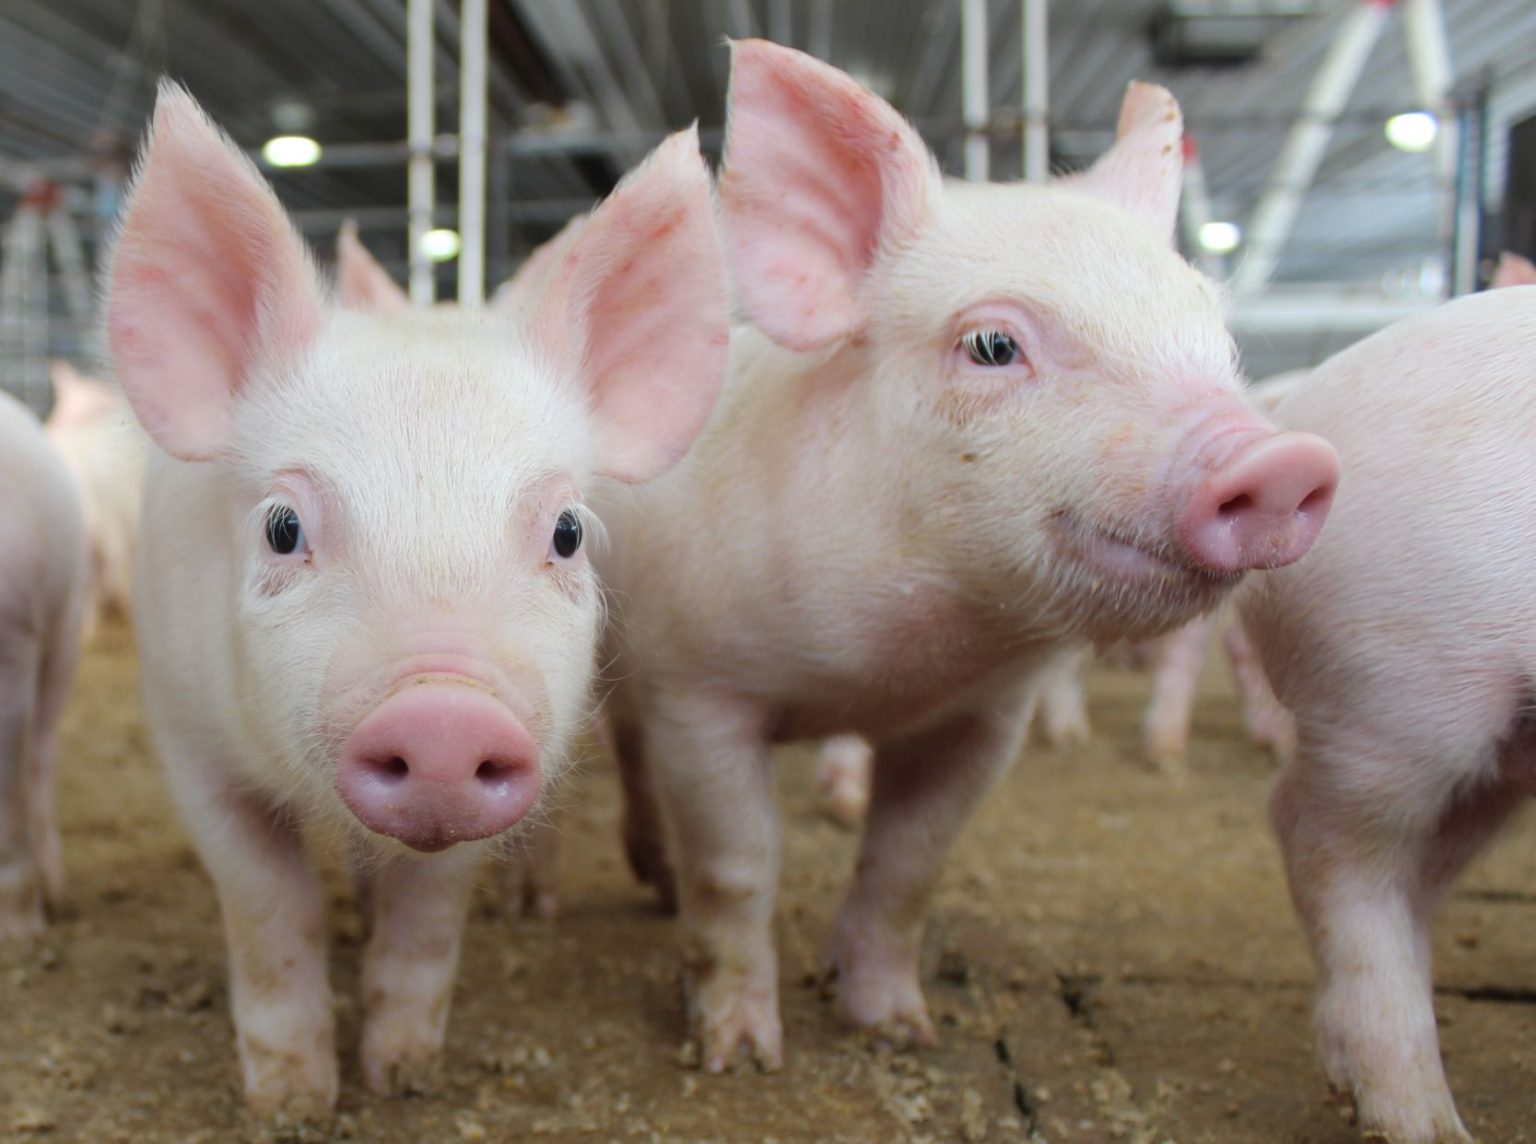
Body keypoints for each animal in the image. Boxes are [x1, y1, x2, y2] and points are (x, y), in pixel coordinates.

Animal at [107, 83, 729, 1120]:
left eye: (567, 531)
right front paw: (290, 1101)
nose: (444, 716)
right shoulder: (185, 735)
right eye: (282, 527)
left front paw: (402, 1074)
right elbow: (269, 907)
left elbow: (429, 917)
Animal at [594, 40, 1340, 1073]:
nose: (1280, 462)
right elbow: (739, 866)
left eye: (1217, 335)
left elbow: (909, 865)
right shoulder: (700, 687)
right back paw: (654, 885)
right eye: (992, 343)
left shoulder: (985, 718)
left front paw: (897, 1028)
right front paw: (737, 1056)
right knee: (629, 759)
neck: (889, 666)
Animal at [1237, 286, 1536, 1144]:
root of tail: (1298, 410)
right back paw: (1425, 1124)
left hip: (1488, 750)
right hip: (1402, 697)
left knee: (1414, 881)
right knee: (1322, 842)